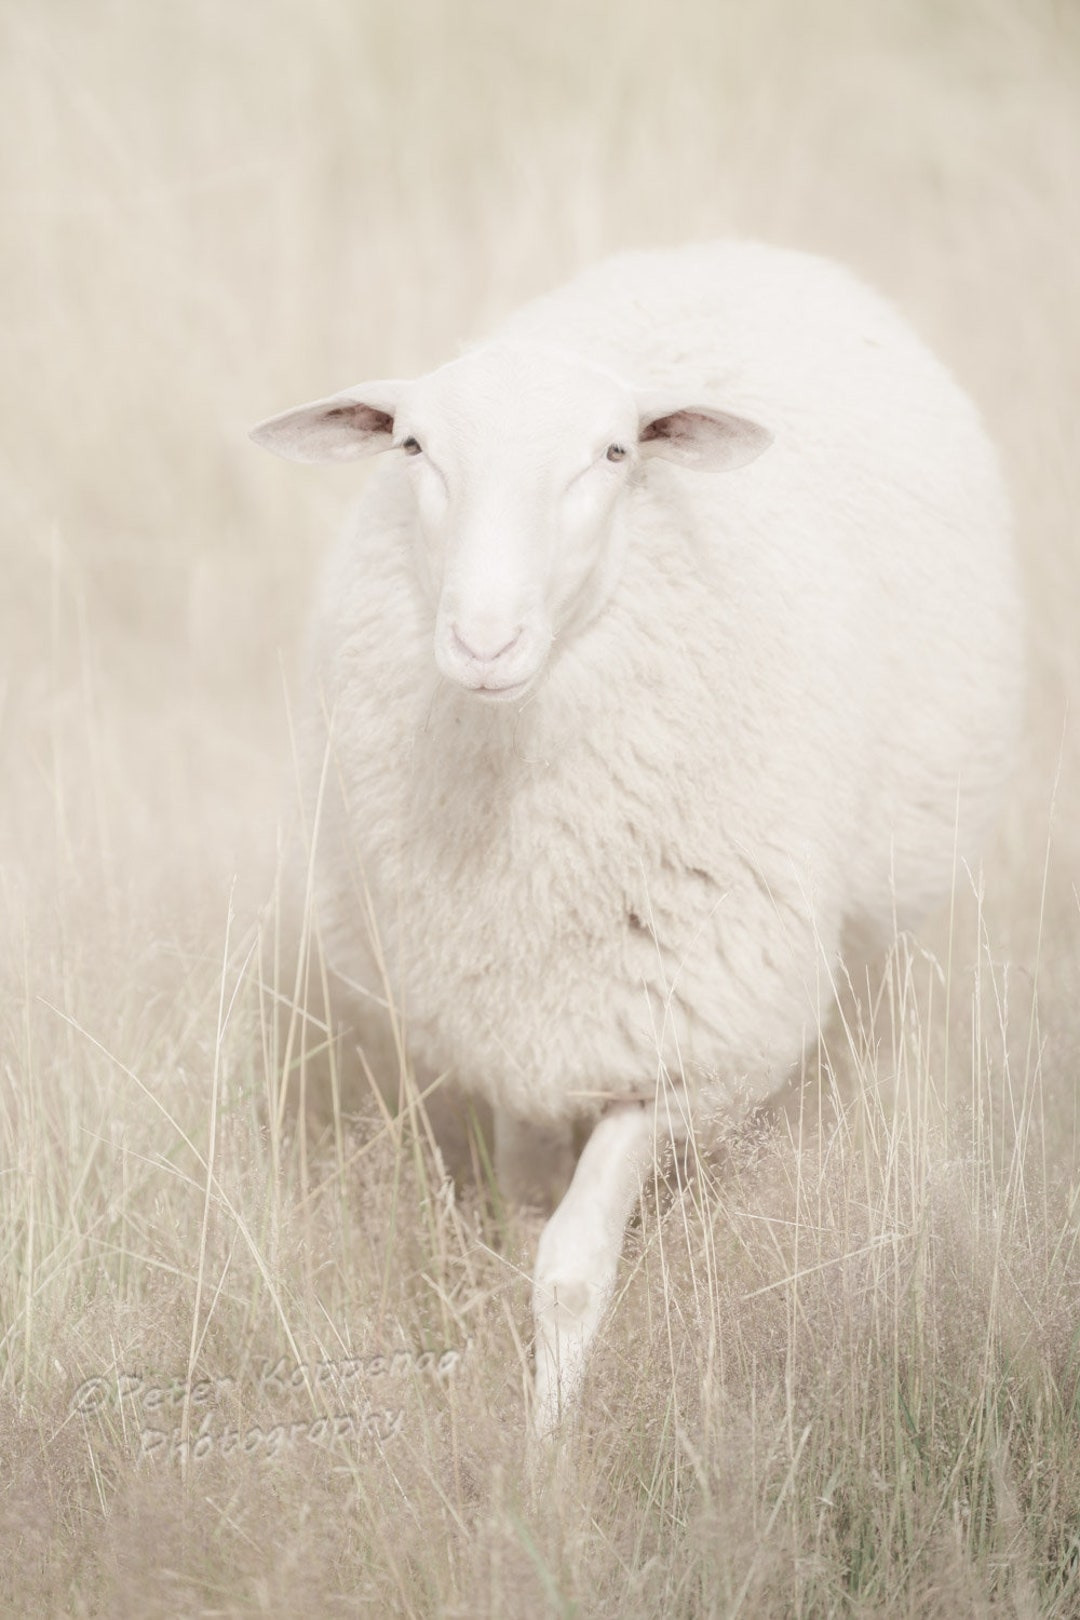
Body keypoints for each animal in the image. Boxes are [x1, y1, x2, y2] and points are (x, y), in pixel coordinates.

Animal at [251, 241, 1025, 1441]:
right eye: (414, 446)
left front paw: (549, 1451)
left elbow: (570, 1270)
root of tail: (737, 247)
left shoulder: (685, 1048)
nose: (483, 641)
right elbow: (523, 1222)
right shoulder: (502, 1033)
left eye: (614, 454)